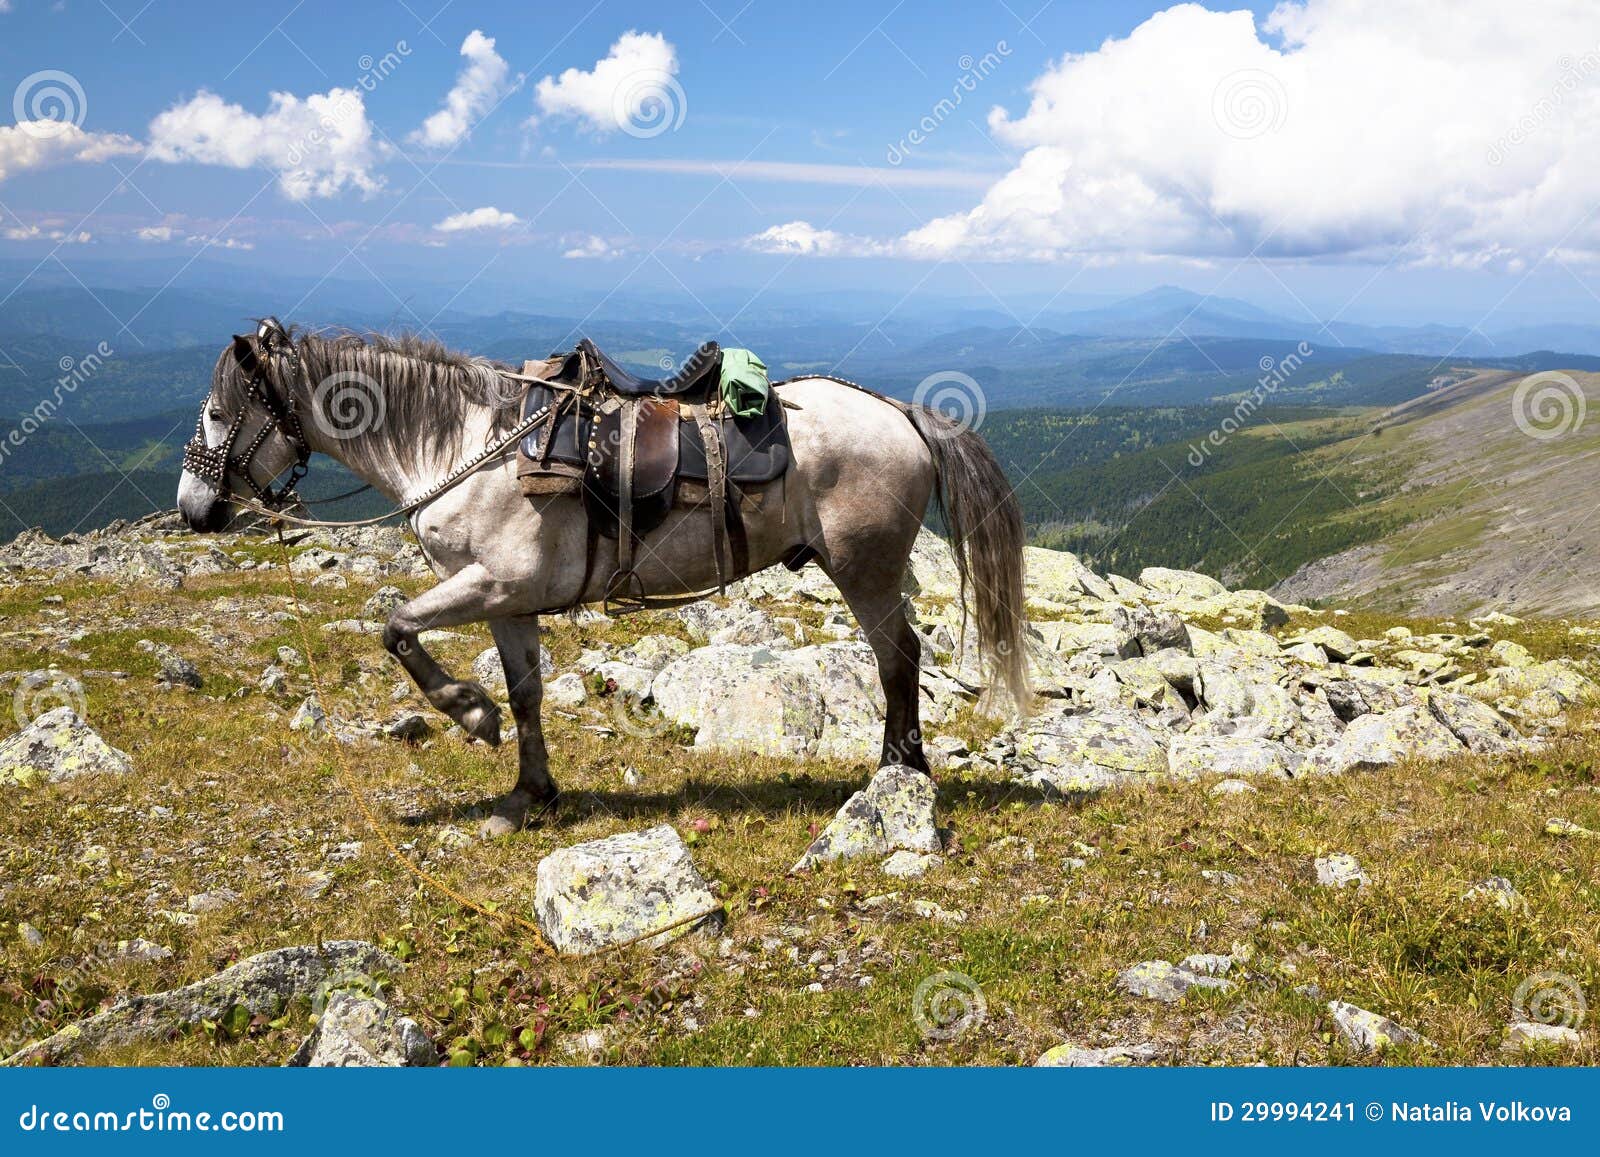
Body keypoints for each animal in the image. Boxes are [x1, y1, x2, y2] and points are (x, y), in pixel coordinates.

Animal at [176, 320, 1029, 835]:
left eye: (218, 413)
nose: (193, 509)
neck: (466, 443)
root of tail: (902, 411)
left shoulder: (489, 582)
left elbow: (396, 627)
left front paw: (470, 714)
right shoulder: (508, 600)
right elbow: (525, 691)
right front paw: (528, 793)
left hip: (866, 571)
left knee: (898, 659)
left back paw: (898, 770)